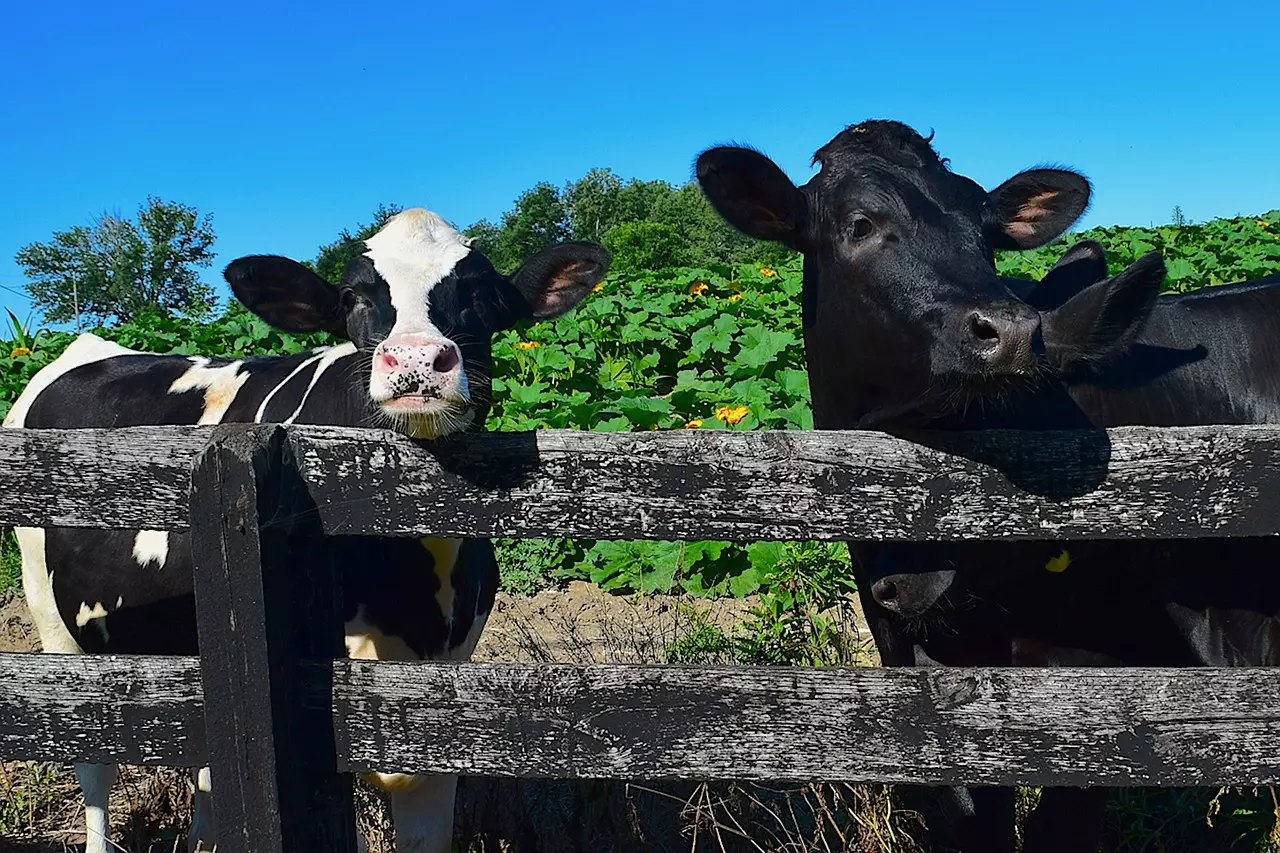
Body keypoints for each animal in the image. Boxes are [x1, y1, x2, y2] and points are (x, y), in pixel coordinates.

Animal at [6, 207, 609, 850]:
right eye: (351, 297)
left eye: (483, 295)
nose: (416, 360)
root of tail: (87, 345)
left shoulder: (444, 699)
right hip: (54, 621)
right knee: (94, 764)